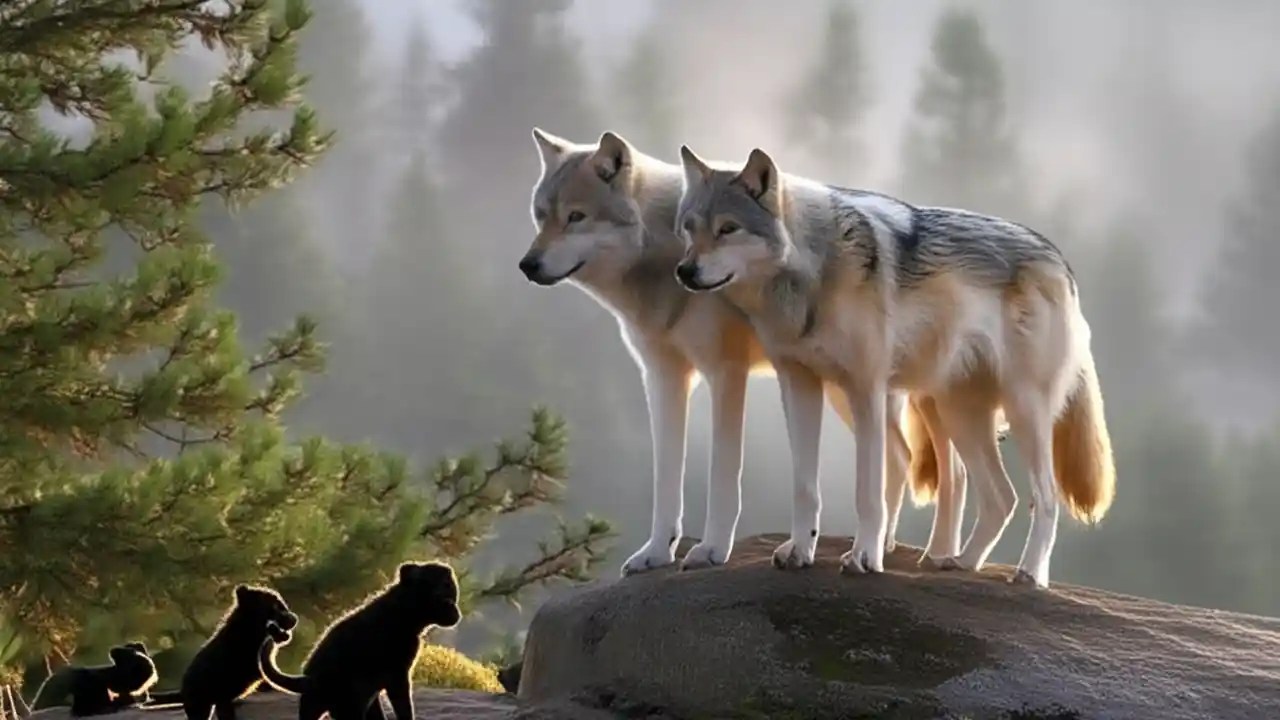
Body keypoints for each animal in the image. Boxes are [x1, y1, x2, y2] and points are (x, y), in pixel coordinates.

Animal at [519, 129, 967, 573]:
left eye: (576, 217)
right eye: (540, 216)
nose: (527, 265)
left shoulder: (726, 373)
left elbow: (724, 475)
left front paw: (712, 549)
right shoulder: (663, 378)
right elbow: (666, 479)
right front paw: (657, 552)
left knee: (950, 471)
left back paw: (939, 555)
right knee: (902, 459)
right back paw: (886, 546)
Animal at [674, 144, 1115, 588]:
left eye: (728, 228)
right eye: (689, 228)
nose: (684, 271)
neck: (814, 272)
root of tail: (1059, 261)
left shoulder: (866, 388)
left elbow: (869, 491)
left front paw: (864, 557)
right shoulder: (798, 385)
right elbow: (805, 486)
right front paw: (800, 551)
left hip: (1023, 412)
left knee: (1045, 497)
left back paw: (1029, 573)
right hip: (959, 414)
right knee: (1000, 497)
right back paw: (960, 562)